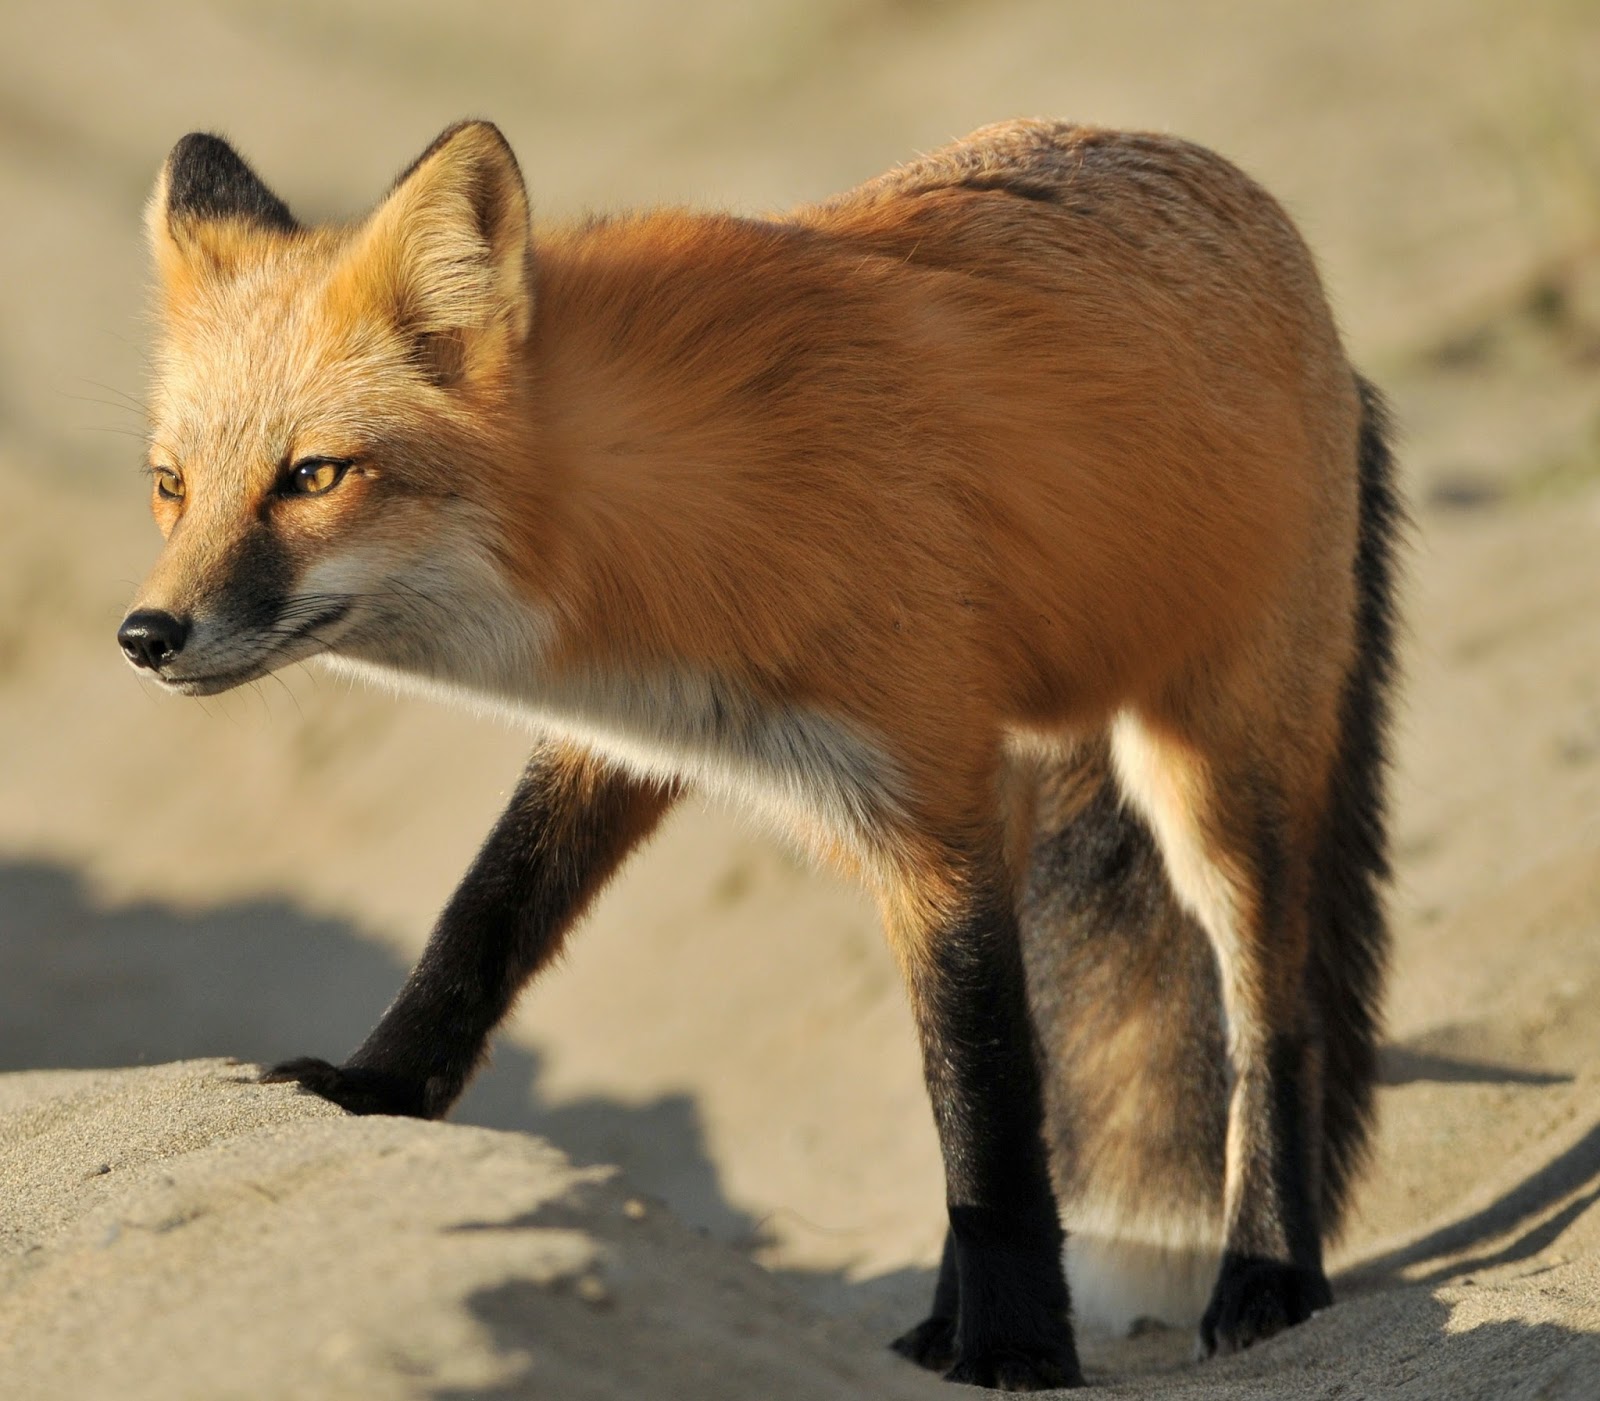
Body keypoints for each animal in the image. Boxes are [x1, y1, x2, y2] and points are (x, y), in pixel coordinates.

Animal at [118, 118, 1399, 1391]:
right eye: (171, 486)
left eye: (313, 477)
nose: (146, 636)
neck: (681, 501)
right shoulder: (625, 736)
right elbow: (485, 920)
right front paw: (374, 1088)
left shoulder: (927, 803)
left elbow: (979, 1107)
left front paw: (1020, 1347)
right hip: (1031, 793)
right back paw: (941, 1326)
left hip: (1214, 775)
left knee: (1270, 1022)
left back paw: (1265, 1274)